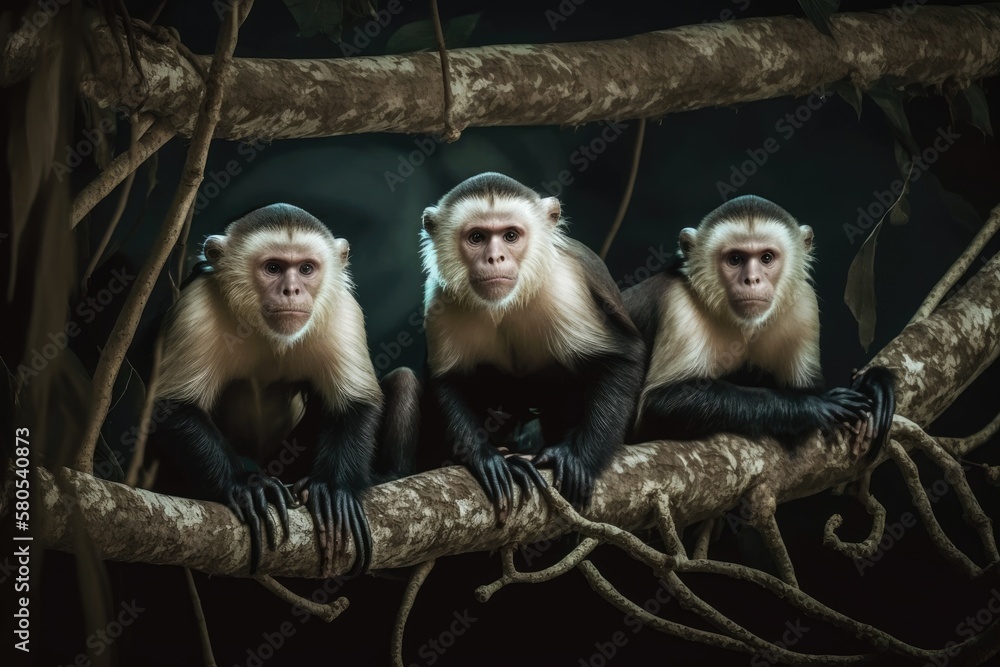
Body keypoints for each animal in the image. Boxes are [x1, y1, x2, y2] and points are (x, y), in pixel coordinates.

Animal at [149, 203, 419, 576]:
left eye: (306, 269)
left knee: (403, 379)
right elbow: (171, 407)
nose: (291, 291)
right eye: (273, 268)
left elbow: (355, 403)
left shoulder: (343, 309)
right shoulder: (196, 305)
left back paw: (387, 475)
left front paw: (333, 489)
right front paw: (246, 485)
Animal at [418, 172, 646, 522]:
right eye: (477, 238)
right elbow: (446, 380)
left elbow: (623, 359)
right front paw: (488, 458)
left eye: (510, 236)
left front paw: (578, 459)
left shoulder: (566, 286)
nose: (495, 258)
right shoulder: (439, 296)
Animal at [622, 195, 894, 458]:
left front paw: (870, 383)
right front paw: (812, 406)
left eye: (766, 258)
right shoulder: (679, 303)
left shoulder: (804, 303)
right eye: (735, 259)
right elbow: (660, 404)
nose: (751, 280)